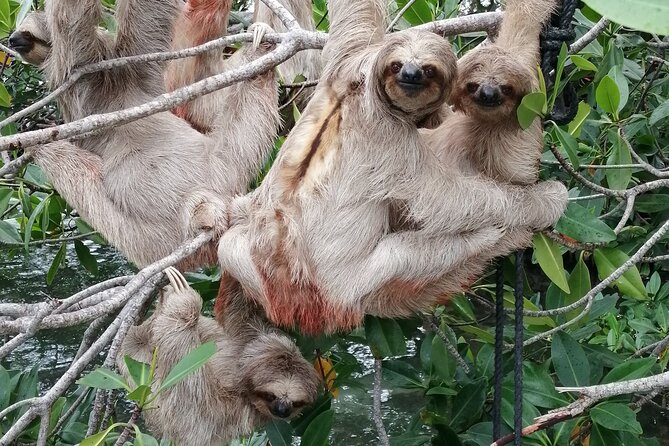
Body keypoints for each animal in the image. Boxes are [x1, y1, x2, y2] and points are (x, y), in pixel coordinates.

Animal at [118, 267, 319, 446]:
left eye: (297, 403)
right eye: (270, 395)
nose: (282, 411)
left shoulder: (241, 411)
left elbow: (194, 419)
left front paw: (184, 304)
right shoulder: (256, 336)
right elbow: (239, 303)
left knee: (133, 346)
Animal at [215, 0, 568, 335]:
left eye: (428, 70)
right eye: (397, 66)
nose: (409, 74)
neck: (361, 89)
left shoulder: (347, 57)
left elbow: (356, 15)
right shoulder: (393, 140)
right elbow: (445, 201)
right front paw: (543, 200)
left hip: (252, 262)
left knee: (228, 245)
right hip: (350, 286)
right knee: (415, 254)